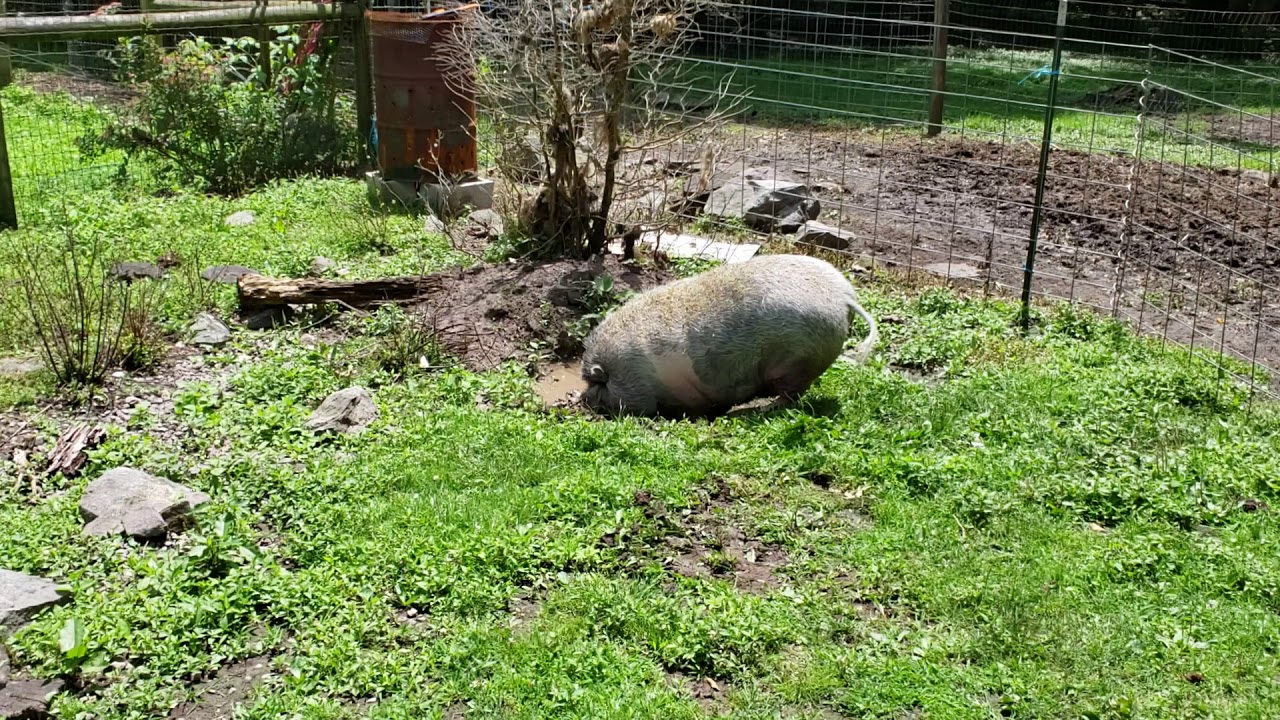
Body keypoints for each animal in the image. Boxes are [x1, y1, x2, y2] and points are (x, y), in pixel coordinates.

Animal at [579, 253, 879, 419]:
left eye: (596, 384)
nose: (581, 400)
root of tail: (843, 298)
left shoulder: (635, 387)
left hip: (797, 360)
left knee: (791, 396)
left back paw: (757, 409)